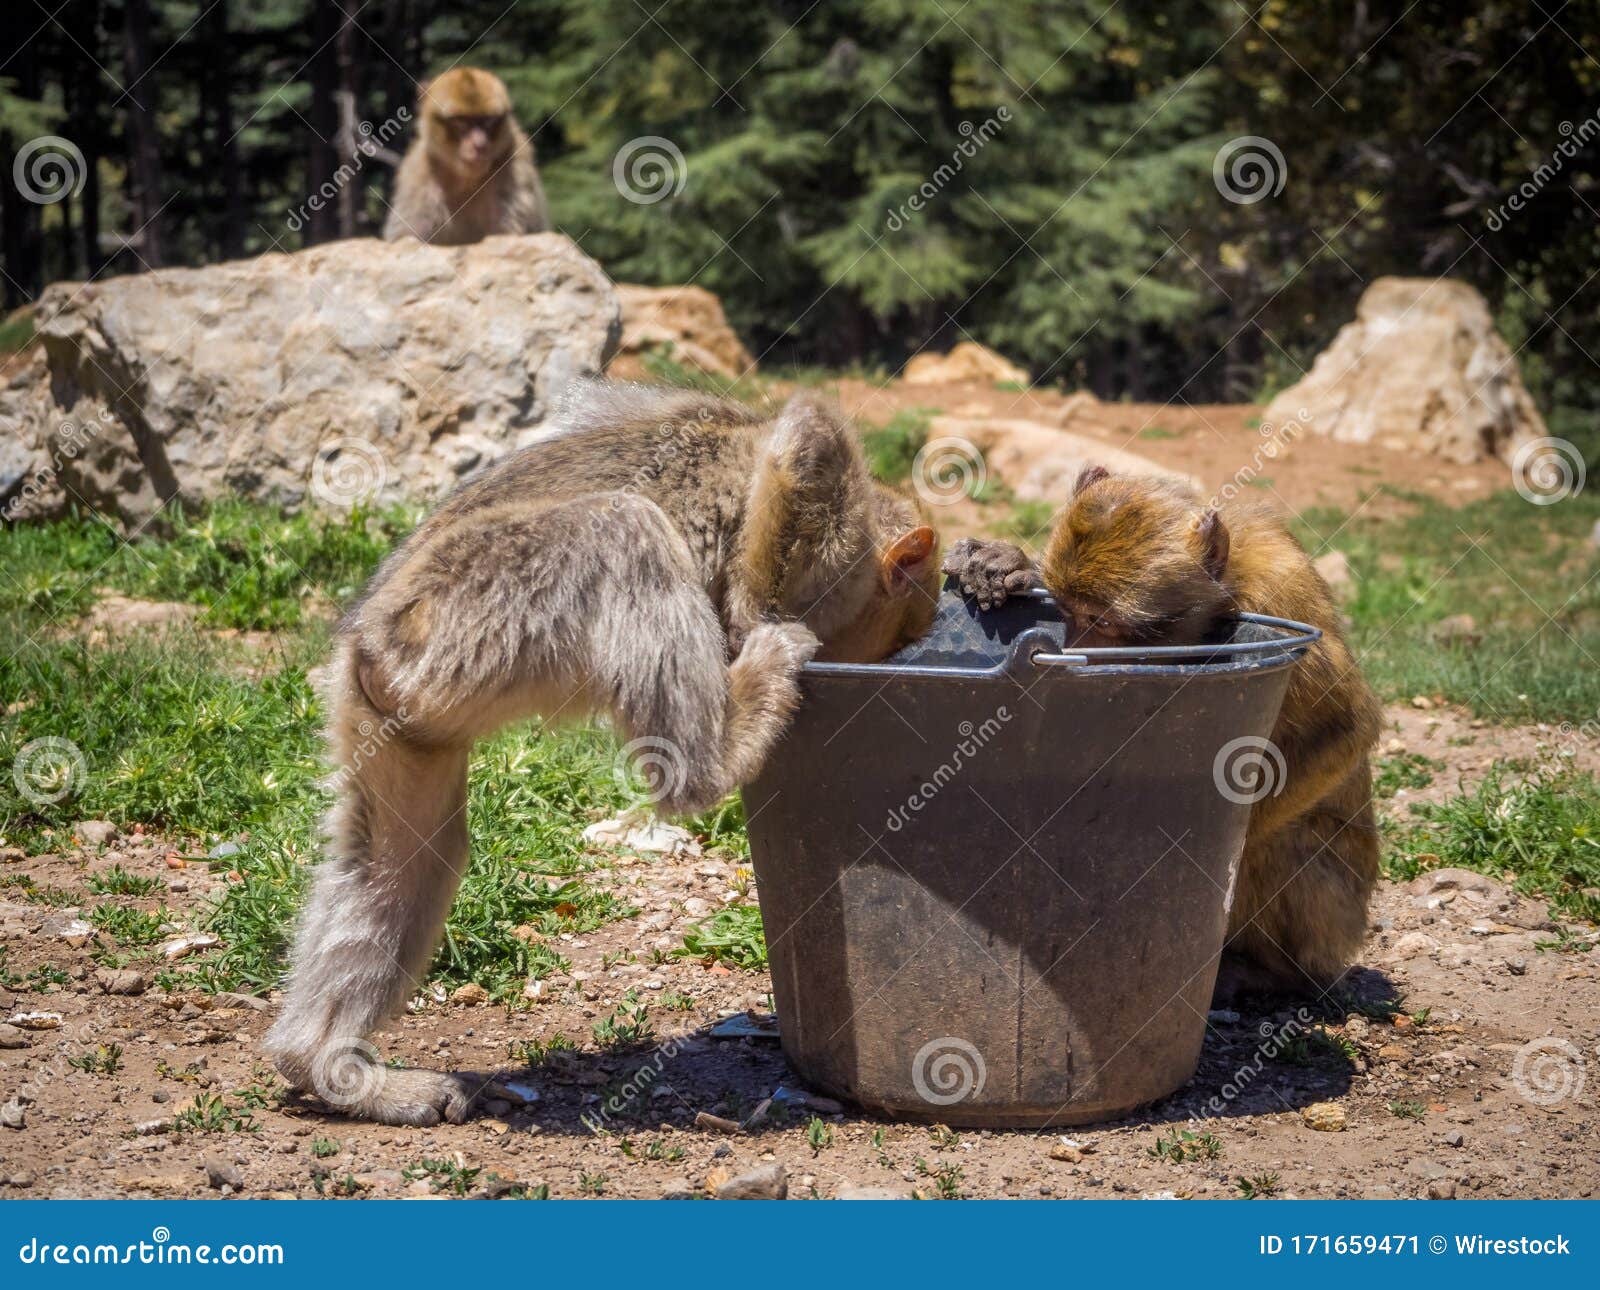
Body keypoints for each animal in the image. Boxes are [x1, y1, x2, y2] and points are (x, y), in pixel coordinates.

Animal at [263, 379, 941, 1125]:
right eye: (898, 634)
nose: (889, 661)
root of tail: (372, 636)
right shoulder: (831, 530)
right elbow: (805, 447)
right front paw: (755, 619)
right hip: (466, 613)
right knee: (619, 531)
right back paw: (716, 756)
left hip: (392, 707)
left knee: (405, 857)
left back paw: (324, 1065)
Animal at [382, 67, 549, 245]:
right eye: (461, 121)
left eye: (488, 120)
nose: (479, 145)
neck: (466, 179)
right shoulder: (419, 174)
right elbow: (406, 236)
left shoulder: (516, 165)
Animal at [943, 466, 1382, 998]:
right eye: (1067, 612)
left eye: (1103, 621)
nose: (1078, 648)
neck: (1231, 586)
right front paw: (1004, 563)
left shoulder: (1282, 599)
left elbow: (1347, 727)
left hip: (1334, 922)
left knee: (1288, 838)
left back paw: (1265, 972)